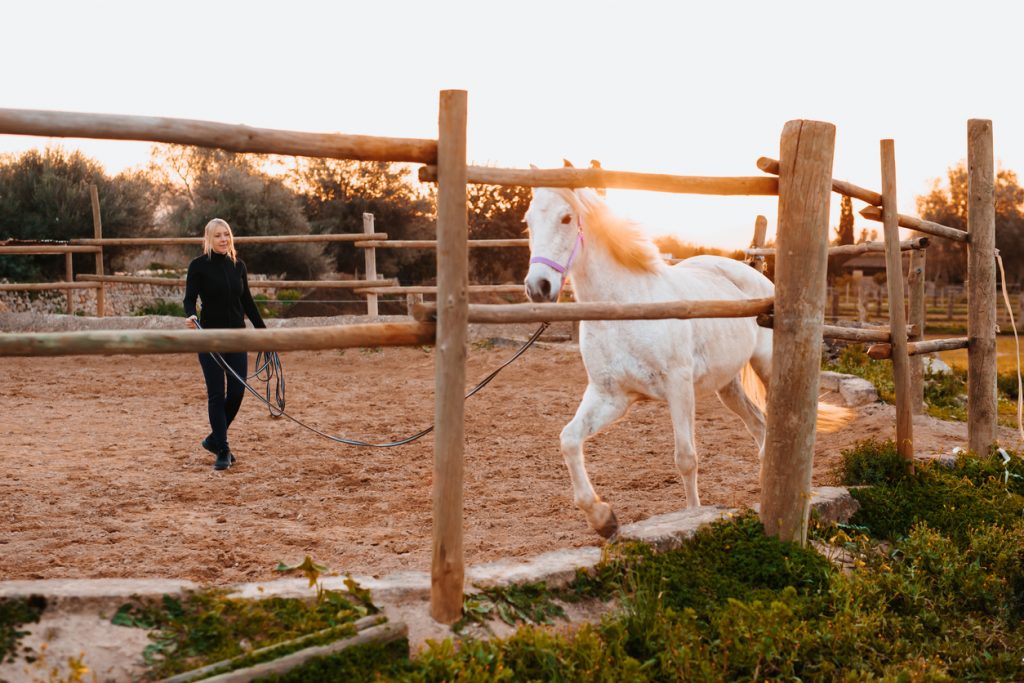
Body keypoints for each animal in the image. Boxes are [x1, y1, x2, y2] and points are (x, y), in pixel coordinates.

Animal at [523, 185, 847, 539]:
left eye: (566, 218)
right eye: (528, 221)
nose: (538, 287)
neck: (626, 307)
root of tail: (756, 275)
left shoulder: (678, 388)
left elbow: (686, 458)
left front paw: (692, 519)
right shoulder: (610, 397)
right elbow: (568, 439)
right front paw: (602, 518)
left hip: (768, 368)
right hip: (728, 388)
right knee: (759, 426)